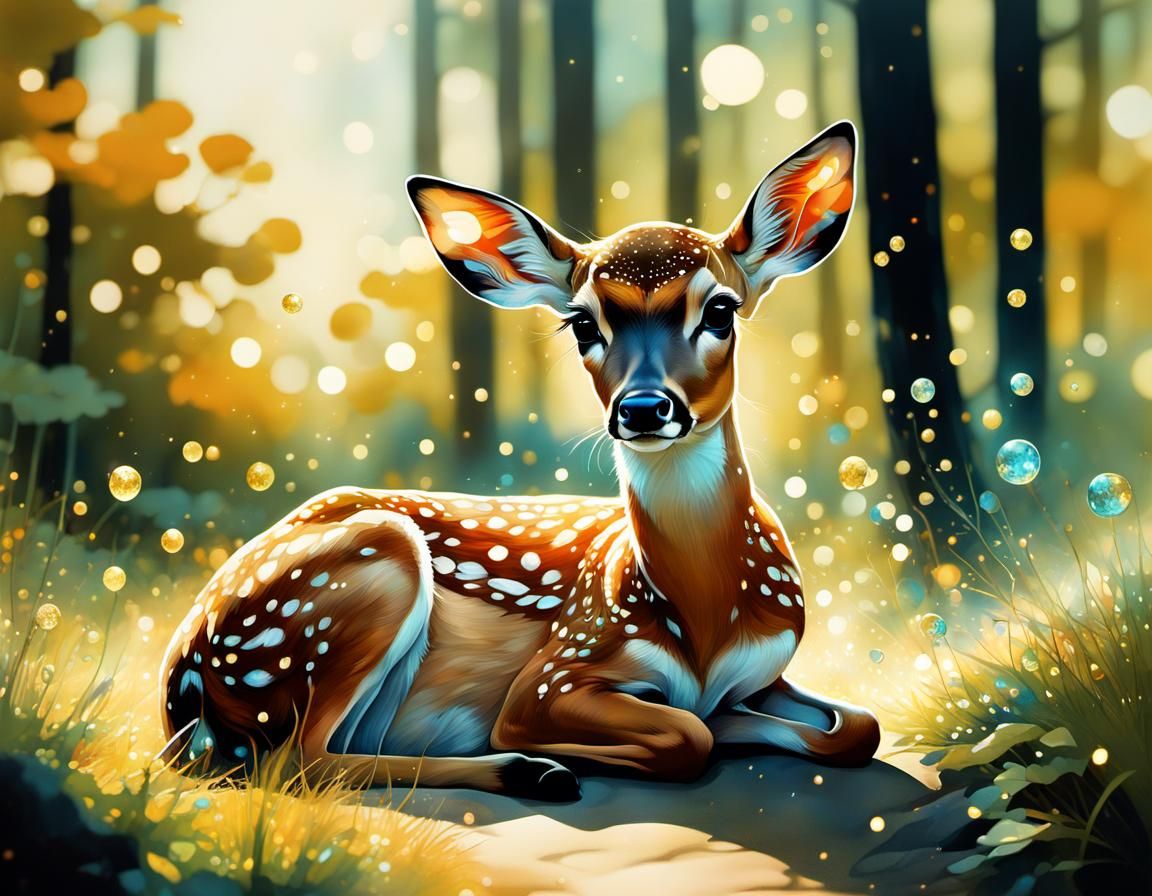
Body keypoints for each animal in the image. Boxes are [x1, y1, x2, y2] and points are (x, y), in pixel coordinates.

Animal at [160, 121, 880, 800]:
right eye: (582, 323)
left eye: (722, 310)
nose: (644, 408)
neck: (704, 621)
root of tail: (179, 683)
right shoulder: (556, 670)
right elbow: (686, 734)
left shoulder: (770, 672)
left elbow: (857, 727)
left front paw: (744, 721)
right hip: (364, 579)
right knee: (296, 762)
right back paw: (531, 771)